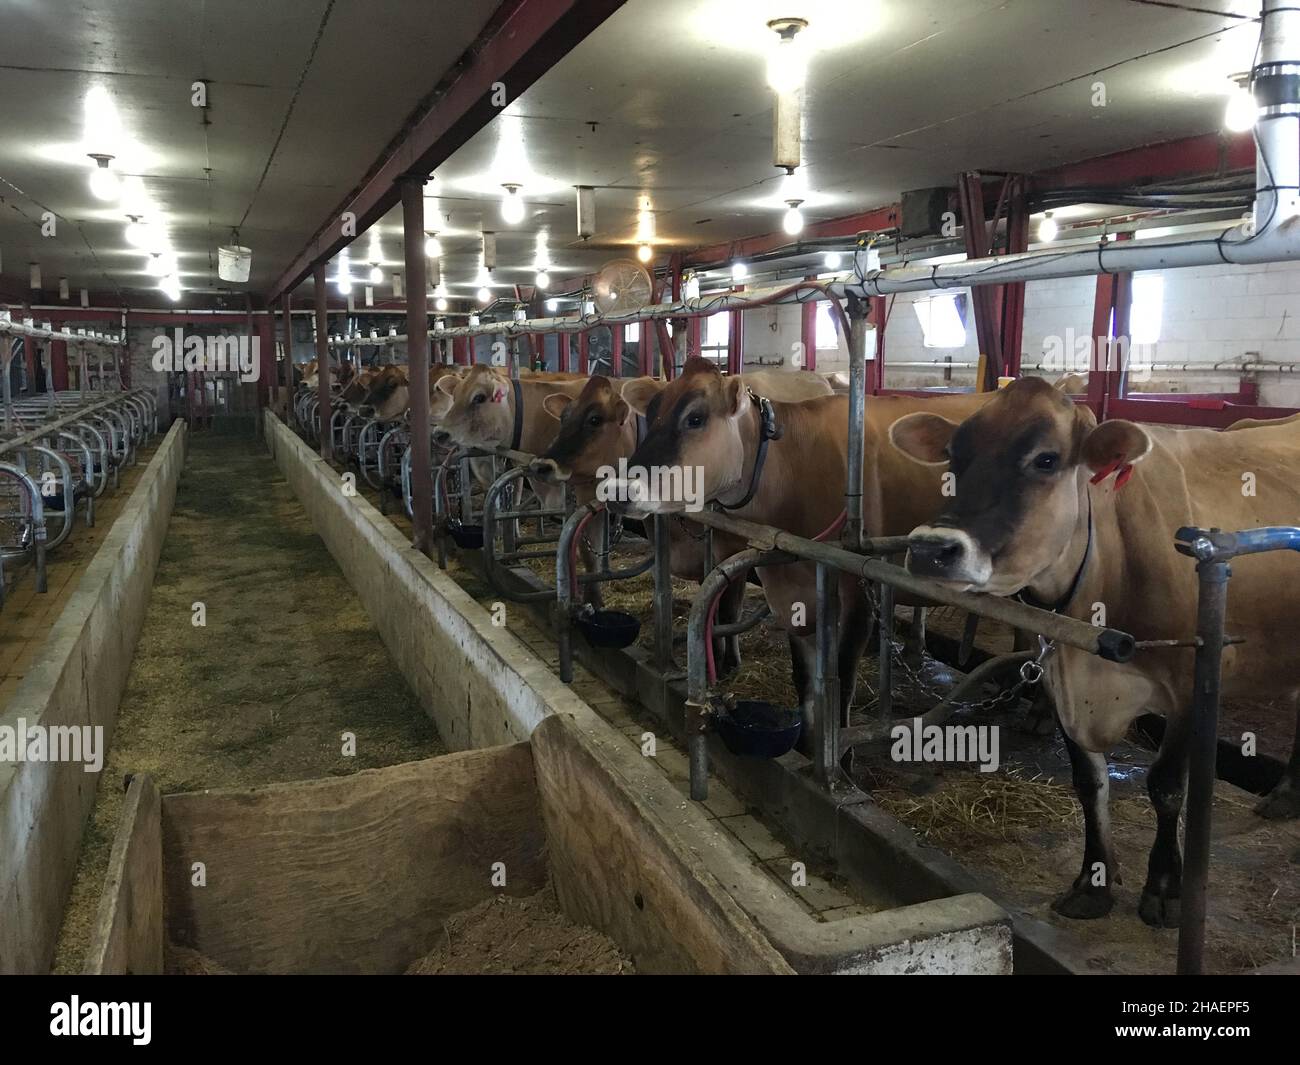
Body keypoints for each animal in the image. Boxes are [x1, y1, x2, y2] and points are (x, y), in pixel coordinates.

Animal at [608, 357, 991, 746]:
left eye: (695, 418)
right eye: (651, 413)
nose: (617, 488)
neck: (794, 470)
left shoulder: (857, 587)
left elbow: (841, 685)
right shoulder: (789, 589)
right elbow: (805, 682)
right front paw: (808, 746)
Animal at [888, 376, 1300, 927]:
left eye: (1045, 460)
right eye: (953, 454)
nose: (932, 548)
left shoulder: (1190, 681)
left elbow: (1167, 786)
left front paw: (1165, 889)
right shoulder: (1063, 676)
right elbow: (1089, 783)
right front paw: (1093, 882)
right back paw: (1287, 794)